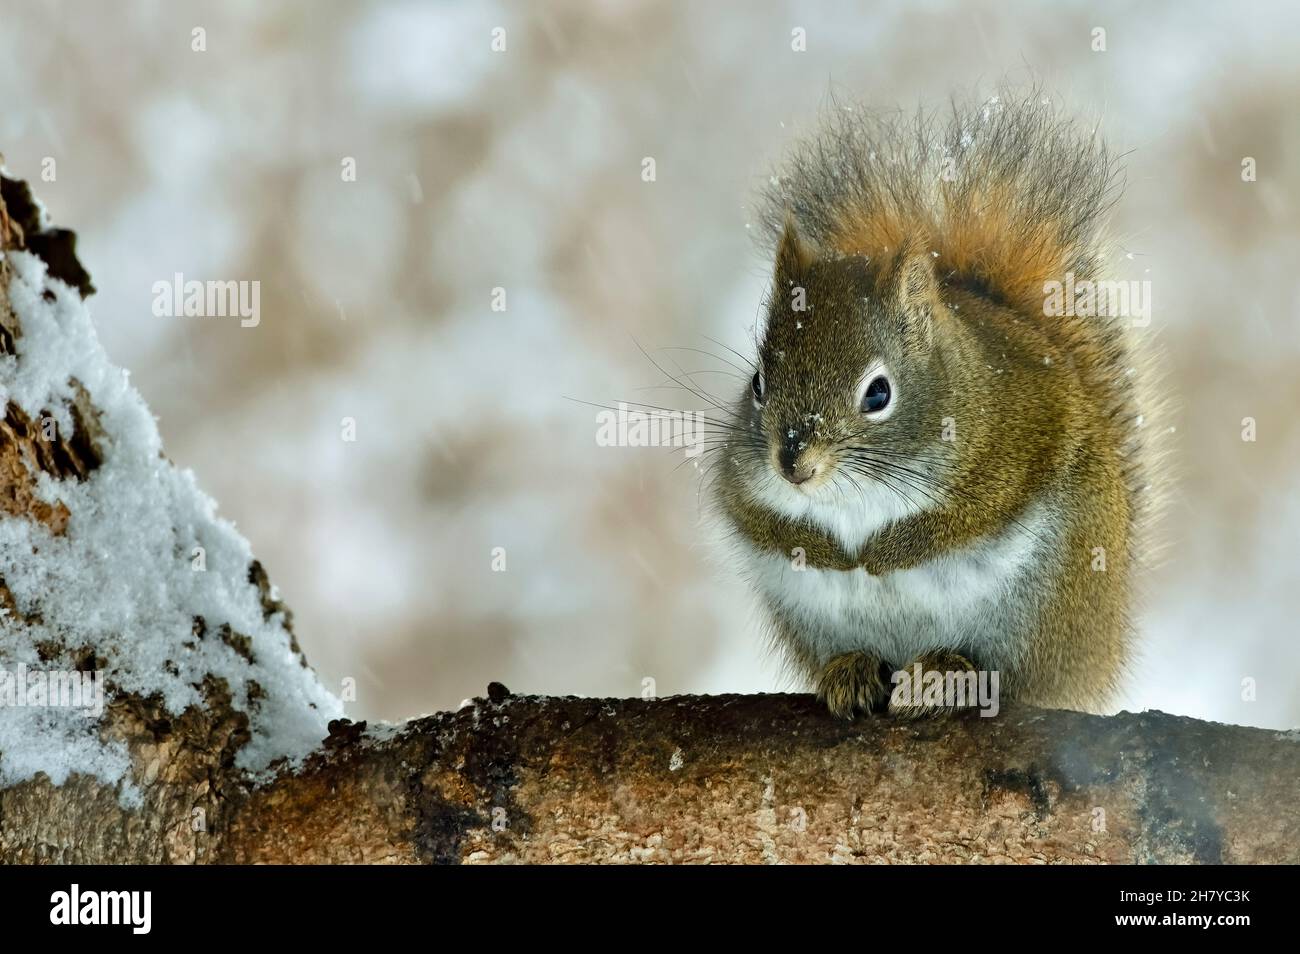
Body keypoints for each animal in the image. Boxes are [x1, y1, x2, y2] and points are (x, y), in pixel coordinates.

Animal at [714, 91, 1164, 720]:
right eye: (757, 383)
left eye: (878, 392)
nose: (793, 464)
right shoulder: (741, 478)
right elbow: (761, 520)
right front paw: (829, 553)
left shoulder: (1009, 451)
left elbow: (958, 520)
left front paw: (883, 554)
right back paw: (851, 670)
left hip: (1041, 608)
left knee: (1010, 675)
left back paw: (944, 672)